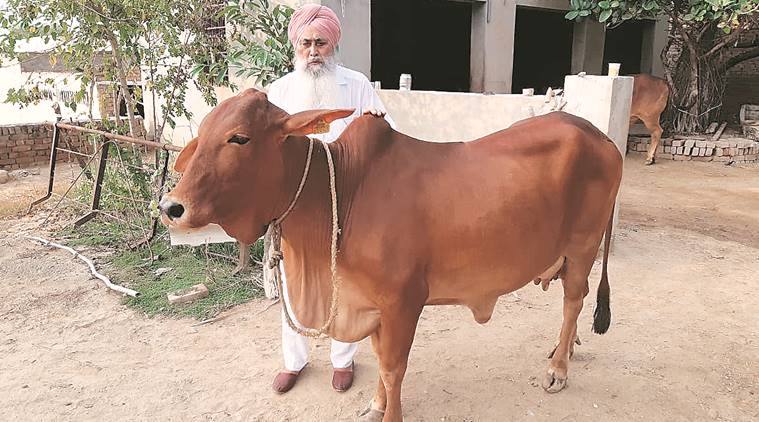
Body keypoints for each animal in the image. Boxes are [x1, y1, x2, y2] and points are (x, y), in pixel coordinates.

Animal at [159, 89, 623, 421]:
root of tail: (600, 135)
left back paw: (558, 369)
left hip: (583, 246)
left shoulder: (403, 302)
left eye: (239, 137)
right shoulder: (372, 304)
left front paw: (389, 412)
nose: (170, 207)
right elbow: (381, 362)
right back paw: (565, 350)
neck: (341, 195)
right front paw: (377, 405)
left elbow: (393, 366)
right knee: (576, 301)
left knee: (573, 301)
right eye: (203, 132)